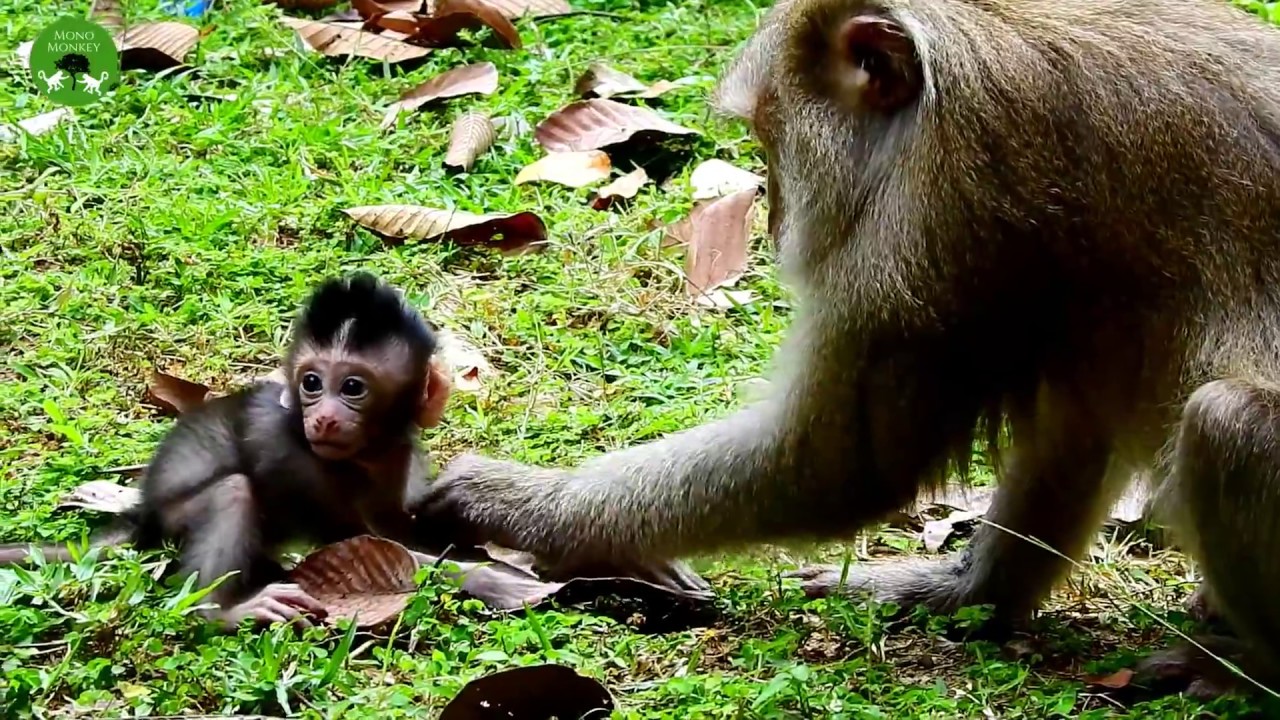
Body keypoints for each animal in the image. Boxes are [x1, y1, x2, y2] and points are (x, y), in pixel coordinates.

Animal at [2, 272, 452, 629]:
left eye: (352, 387)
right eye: (311, 383)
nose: (323, 418)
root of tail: (145, 514)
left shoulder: (398, 459)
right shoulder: (287, 453)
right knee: (233, 491)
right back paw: (218, 613)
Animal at [415, 0, 1280, 698]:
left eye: (774, 137)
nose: (772, 223)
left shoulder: (929, 218)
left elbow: (839, 466)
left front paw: (520, 505)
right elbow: (1070, 427)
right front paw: (966, 595)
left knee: (1228, 422)